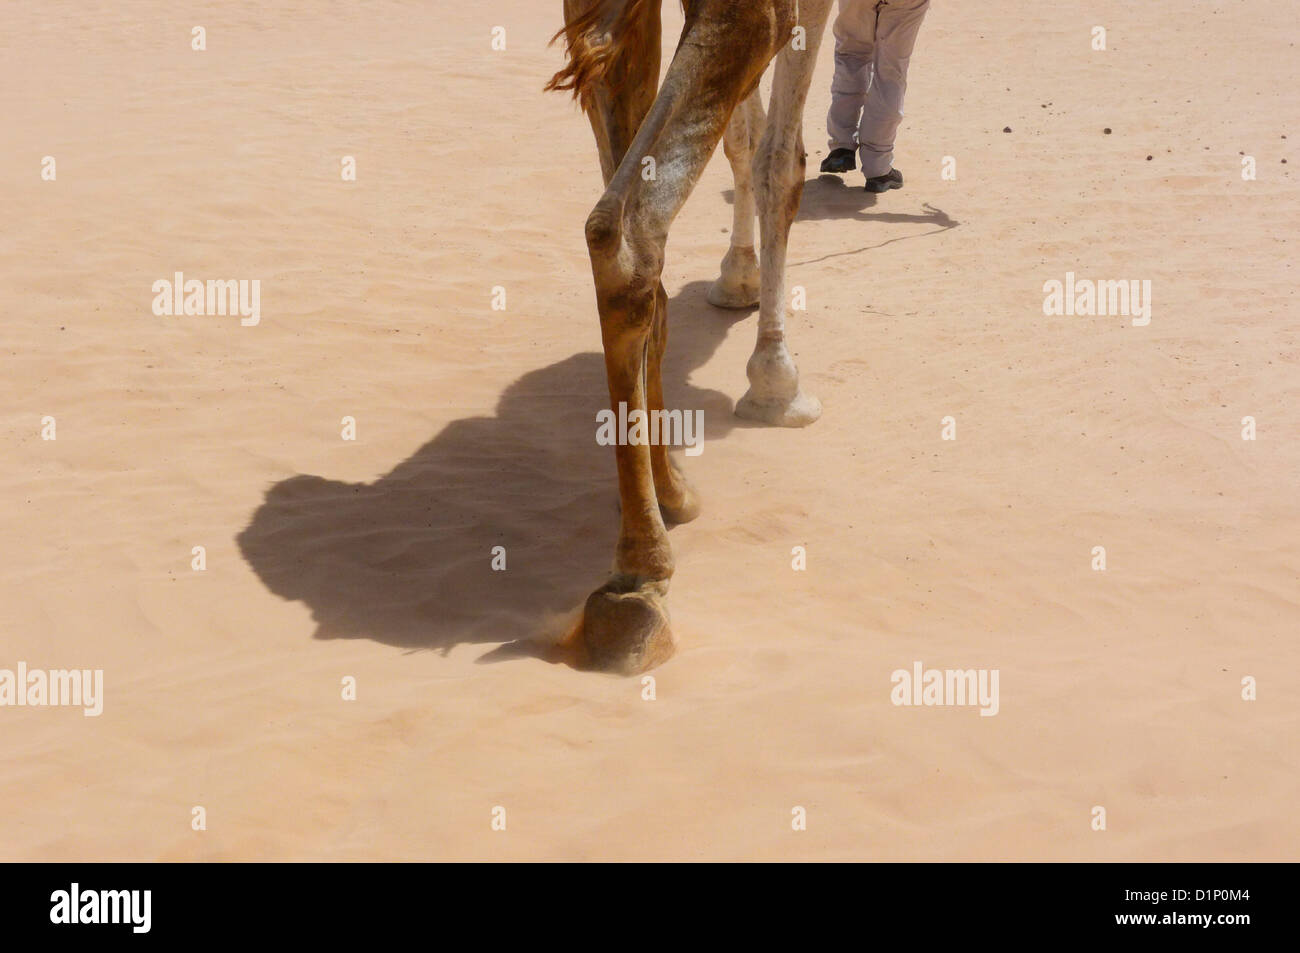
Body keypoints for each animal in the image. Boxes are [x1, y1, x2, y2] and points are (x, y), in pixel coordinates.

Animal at [548, 0, 834, 674]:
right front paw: (777, 385)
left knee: (620, 230)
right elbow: (780, 160)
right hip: (749, 12)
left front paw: (738, 280)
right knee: (627, 228)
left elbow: (745, 141)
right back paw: (637, 588)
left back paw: (670, 491)